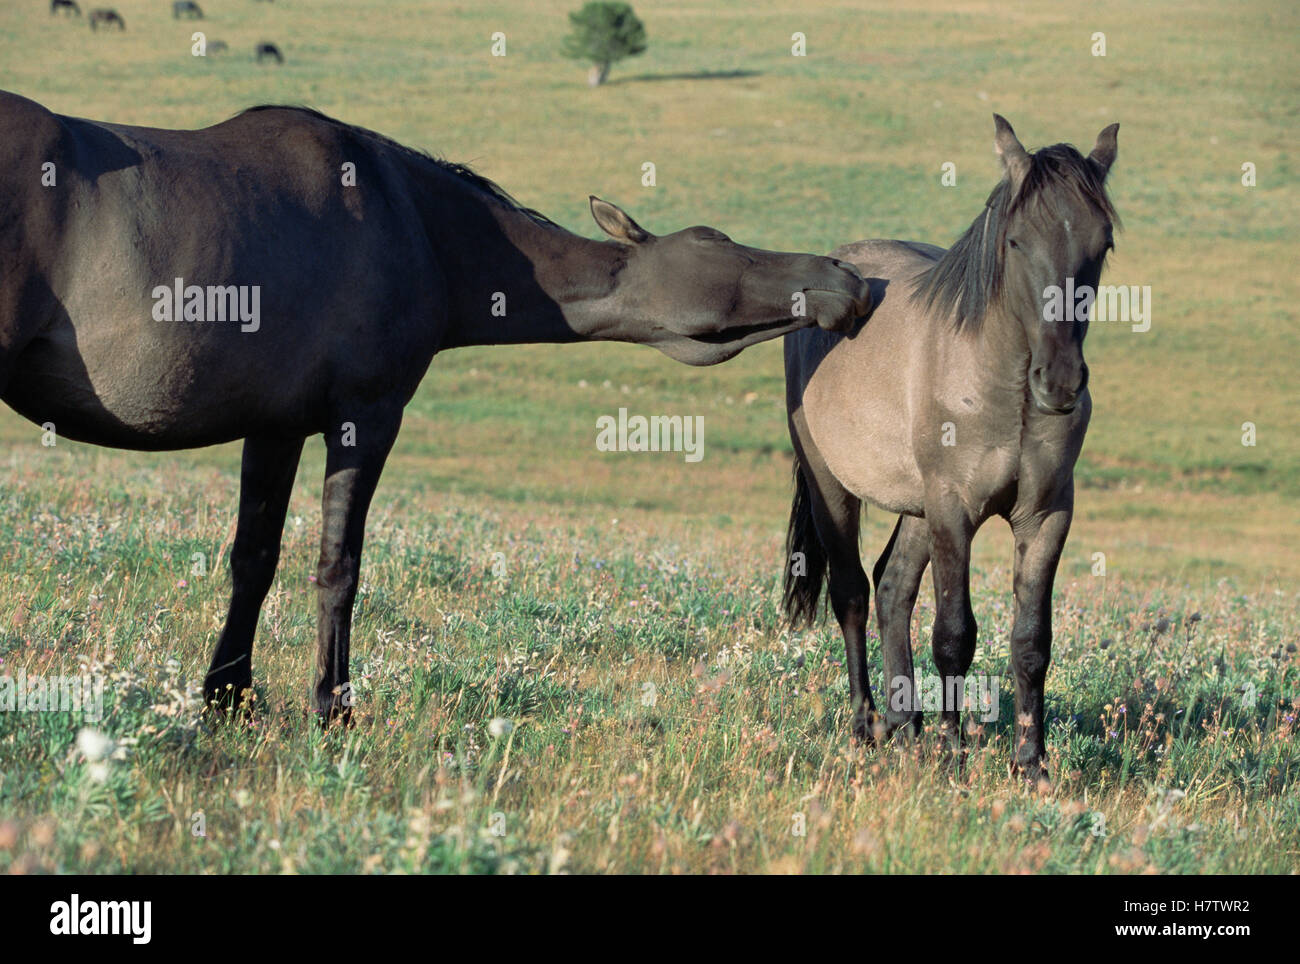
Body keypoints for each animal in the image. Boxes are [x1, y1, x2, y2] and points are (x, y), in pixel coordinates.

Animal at [0, 91, 872, 723]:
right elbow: (339, 566)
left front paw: (227, 697)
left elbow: (253, 559)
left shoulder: (275, 426)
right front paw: (333, 708)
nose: (844, 277)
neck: (417, 223)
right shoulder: (367, 412)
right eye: (720, 246)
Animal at [783, 115, 1119, 781]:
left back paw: (903, 726)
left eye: (1103, 245)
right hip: (835, 483)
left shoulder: (1045, 517)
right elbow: (955, 635)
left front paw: (1031, 765)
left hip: (918, 507)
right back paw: (866, 728)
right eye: (1015, 241)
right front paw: (952, 756)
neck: (1005, 391)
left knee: (891, 588)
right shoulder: (954, 510)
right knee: (853, 594)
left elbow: (1031, 641)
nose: (1060, 383)